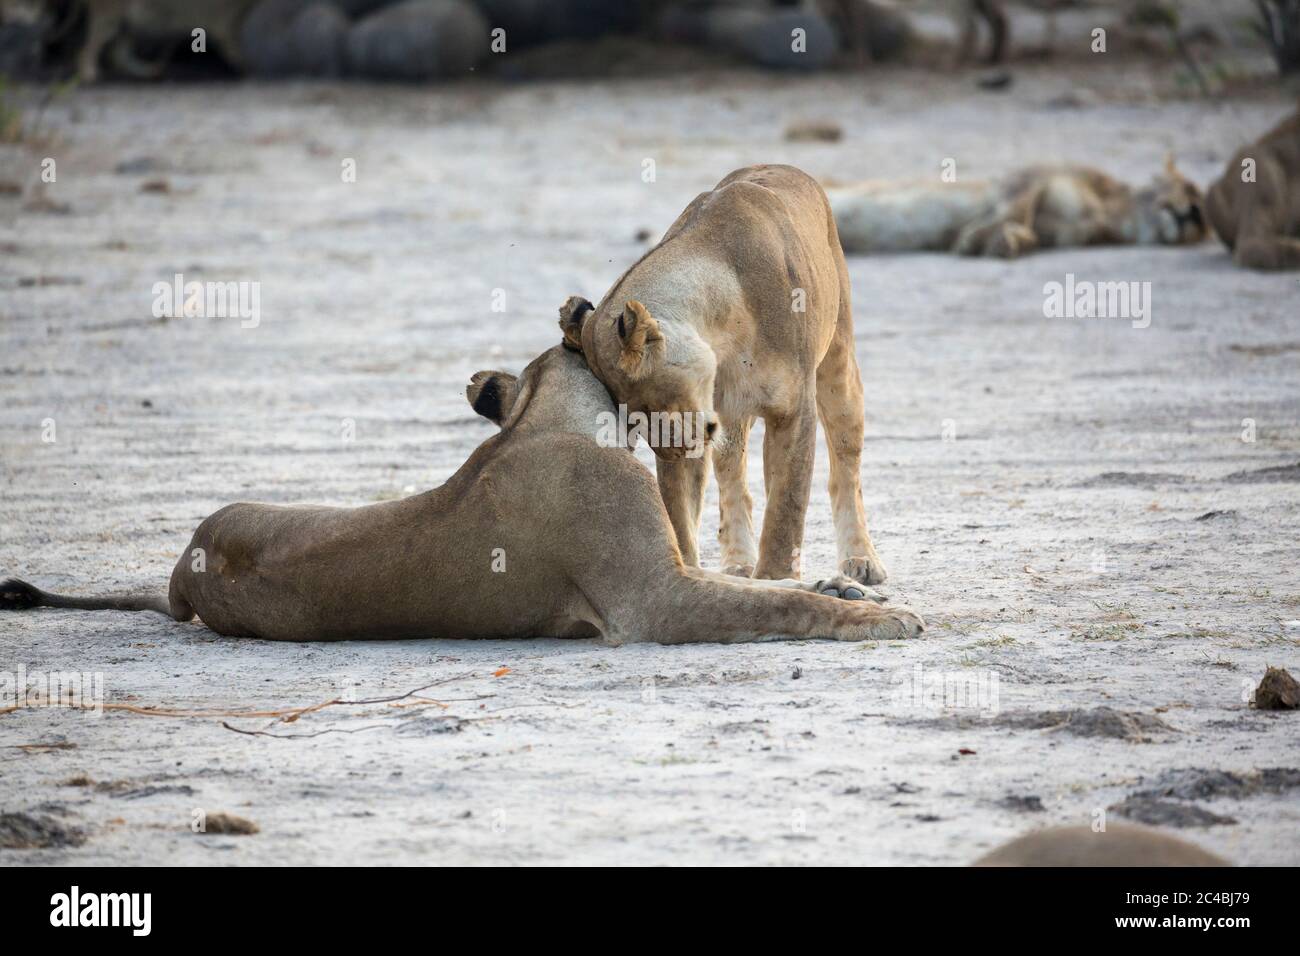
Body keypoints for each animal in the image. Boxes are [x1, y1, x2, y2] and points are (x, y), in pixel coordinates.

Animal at [1, 346, 924, 645]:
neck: (545, 418)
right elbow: (778, 603)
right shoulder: (651, 602)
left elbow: (780, 585)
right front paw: (882, 621)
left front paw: (855, 589)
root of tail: (183, 575)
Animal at [559, 164, 889, 589]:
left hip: (838, 362)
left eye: (650, 406)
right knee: (733, 479)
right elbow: (680, 515)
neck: (723, 331)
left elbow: (786, 508)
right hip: (732, 419)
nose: (673, 452)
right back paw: (737, 562)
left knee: (846, 470)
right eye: (630, 423)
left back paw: (860, 559)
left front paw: (776, 578)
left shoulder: (793, 411)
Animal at [827, 158, 1207, 258]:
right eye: (1189, 188)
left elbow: (1028, 232)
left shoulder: (1061, 234)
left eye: (1206, 221)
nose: (1195, 213)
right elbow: (1016, 209)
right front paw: (973, 240)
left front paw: (1005, 242)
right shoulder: (1027, 178)